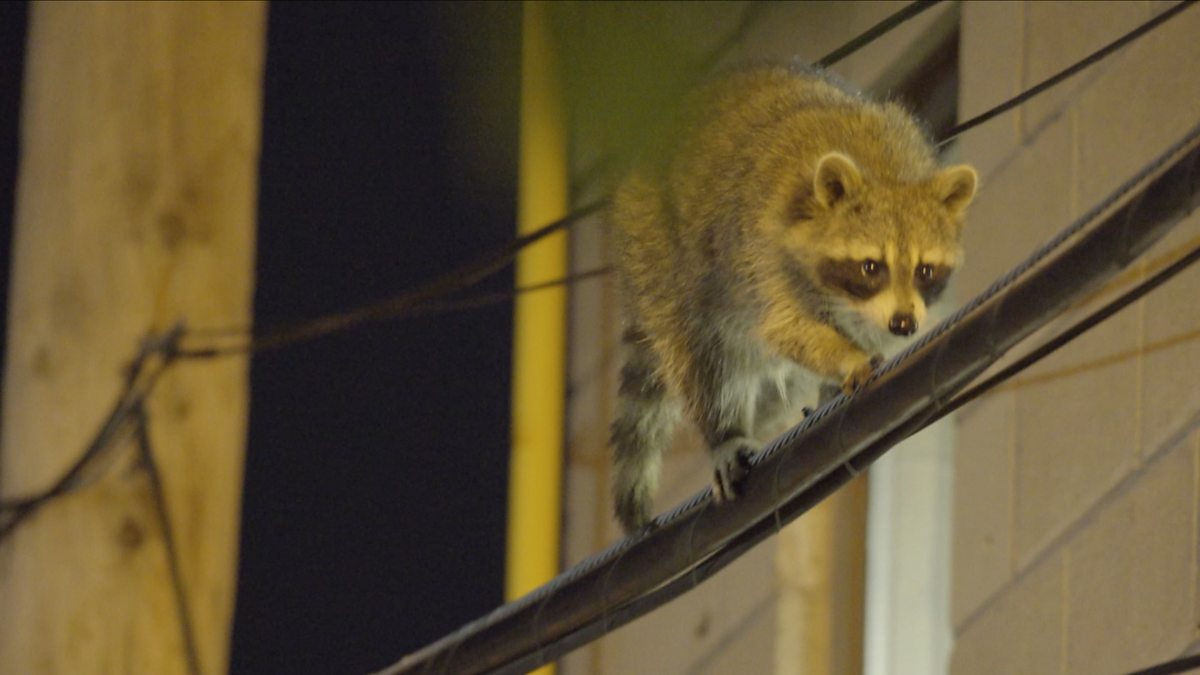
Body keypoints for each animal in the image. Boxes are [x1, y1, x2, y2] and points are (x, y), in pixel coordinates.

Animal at [609, 64, 977, 533]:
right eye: (870, 267)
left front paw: (849, 364)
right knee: (703, 351)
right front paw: (848, 358)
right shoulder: (763, 246)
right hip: (660, 252)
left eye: (925, 271)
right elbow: (784, 325)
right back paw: (725, 431)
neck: (883, 171)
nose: (904, 324)